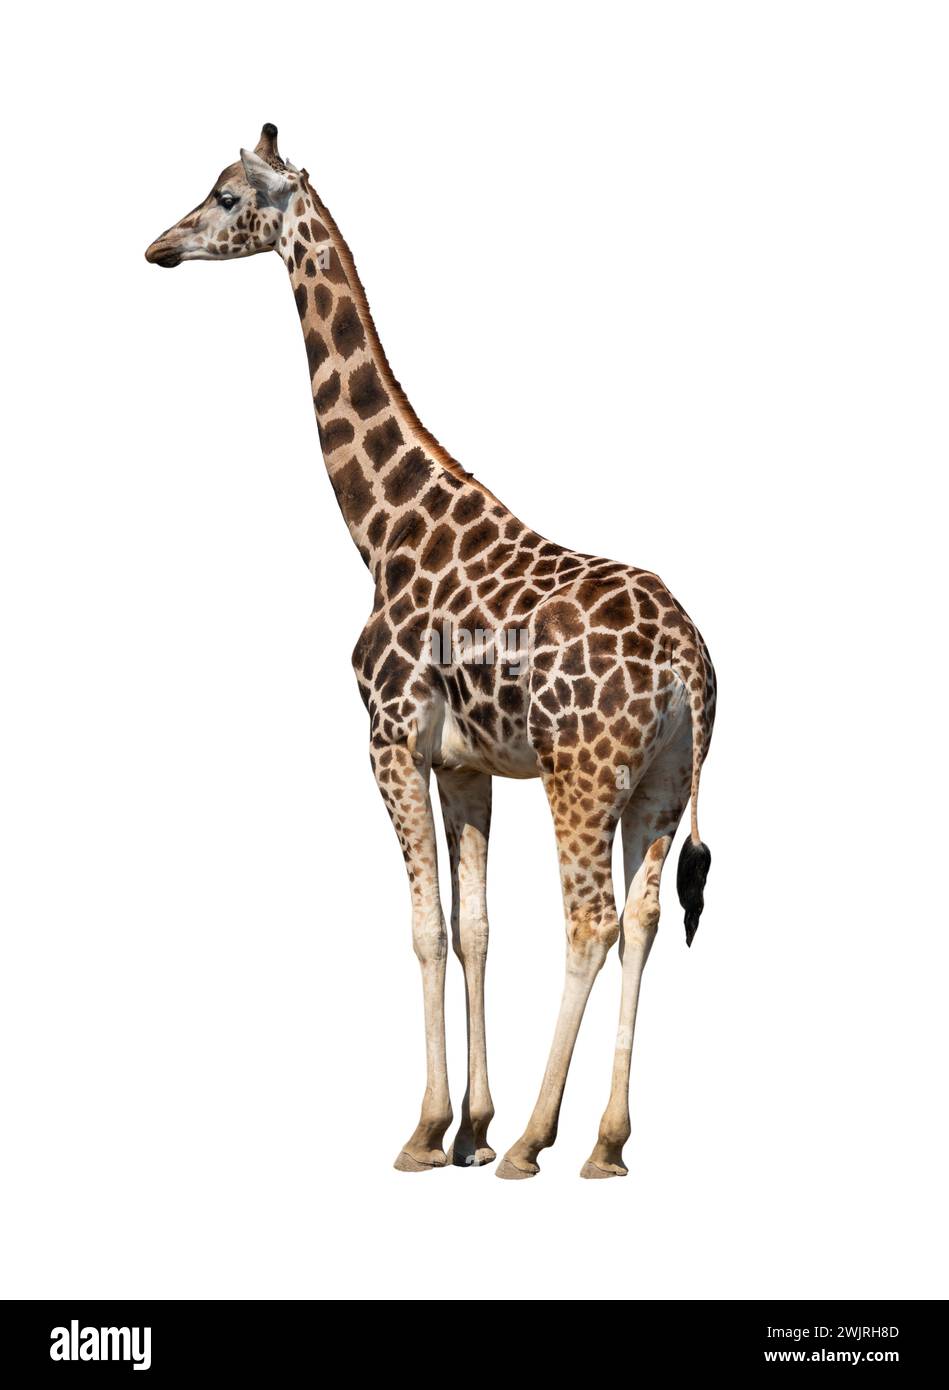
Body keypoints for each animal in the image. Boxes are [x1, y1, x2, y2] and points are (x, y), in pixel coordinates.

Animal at [146, 124, 716, 1180]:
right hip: (660, 783)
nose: (158, 245)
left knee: (590, 920)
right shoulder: (465, 765)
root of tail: (687, 668)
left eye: (227, 194)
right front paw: (468, 1128)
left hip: (581, 773)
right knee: (645, 920)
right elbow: (472, 930)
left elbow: (421, 928)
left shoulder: (387, 741)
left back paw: (538, 1140)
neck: (380, 533)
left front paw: (427, 1132)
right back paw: (606, 1144)